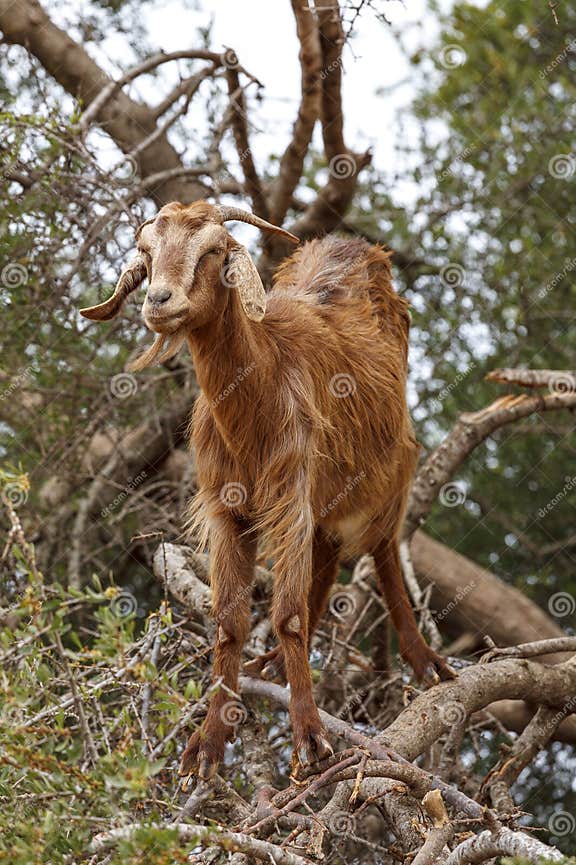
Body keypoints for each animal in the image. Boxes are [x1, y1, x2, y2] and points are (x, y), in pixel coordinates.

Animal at [80, 200, 454, 782]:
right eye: (146, 252)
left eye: (213, 252)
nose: (160, 301)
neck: (259, 387)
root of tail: (354, 245)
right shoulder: (227, 509)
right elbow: (231, 622)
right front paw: (208, 744)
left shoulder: (290, 497)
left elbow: (287, 615)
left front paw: (311, 738)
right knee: (328, 553)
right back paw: (276, 663)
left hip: (393, 467)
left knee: (384, 547)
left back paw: (425, 662)